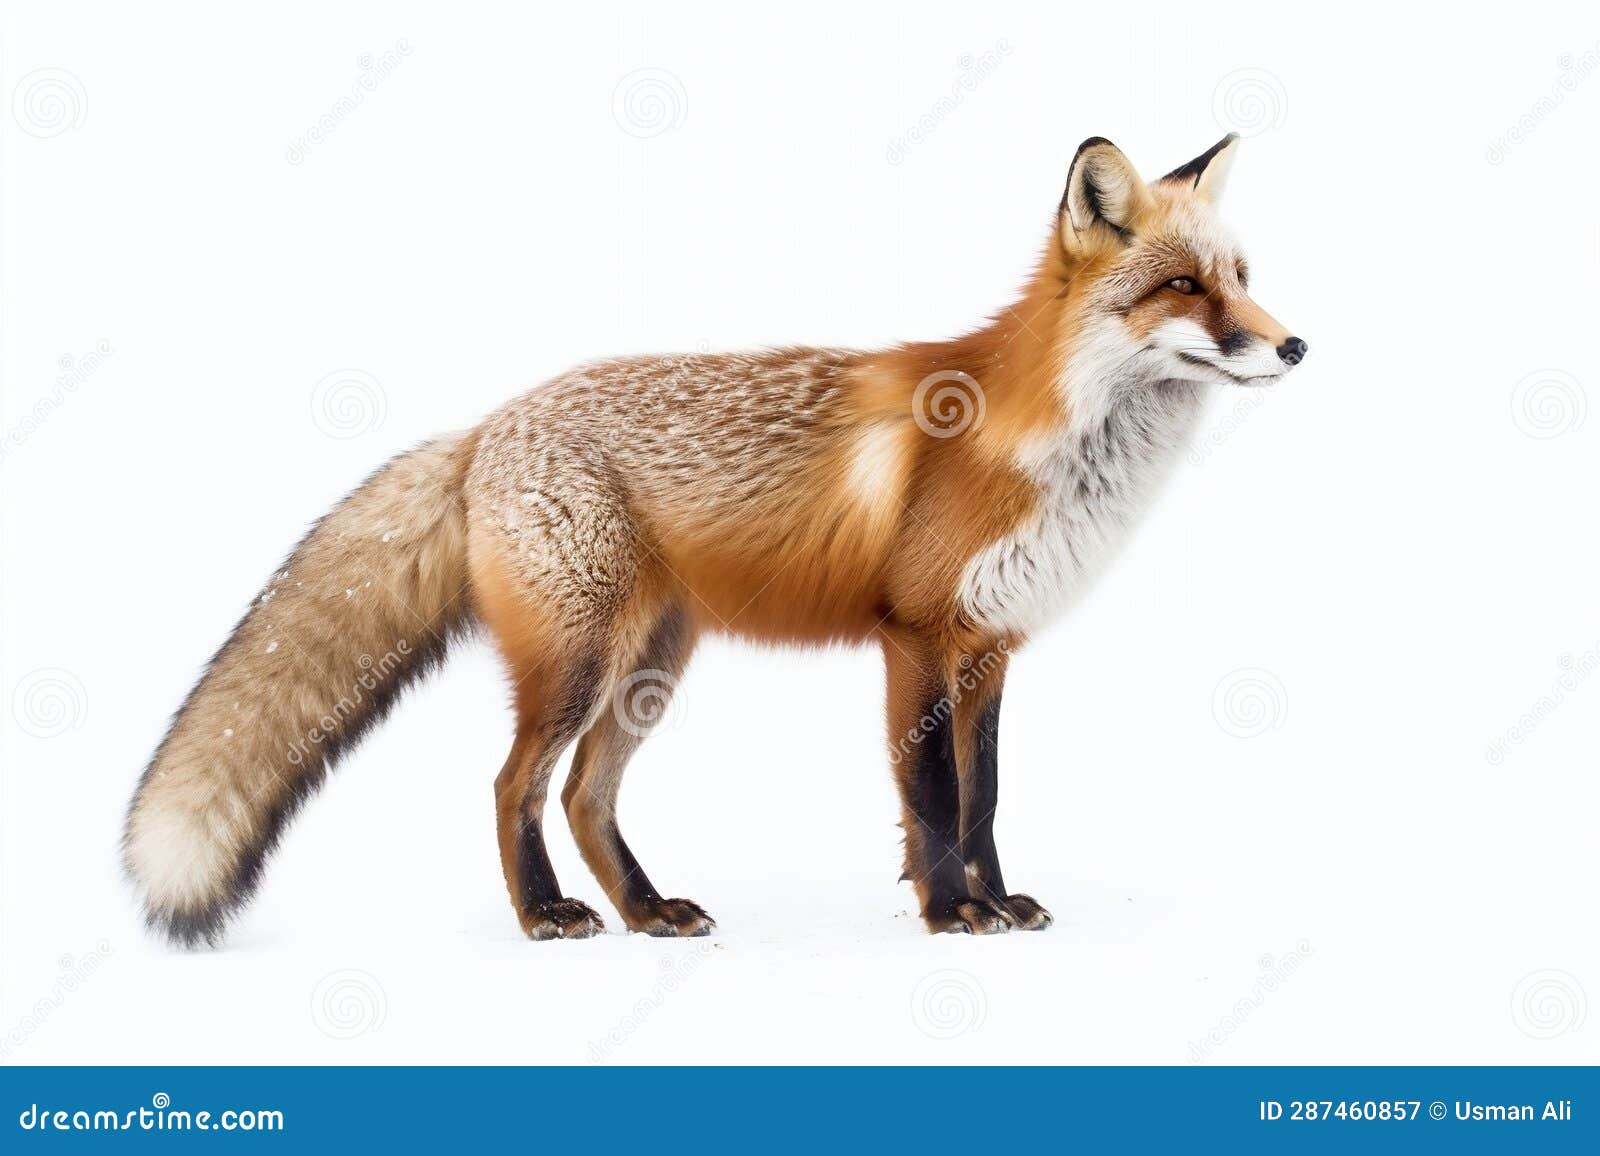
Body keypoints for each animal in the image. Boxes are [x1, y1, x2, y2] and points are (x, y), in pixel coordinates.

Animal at [125, 133, 1306, 945]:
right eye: (1183, 287)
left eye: (1242, 278)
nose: (1295, 345)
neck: (1050, 444)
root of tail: (487, 425)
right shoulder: (916, 638)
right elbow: (932, 799)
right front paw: (948, 913)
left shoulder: (990, 649)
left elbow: (986, 799)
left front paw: (997, 898)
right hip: (576, 660)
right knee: (514, 787)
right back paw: (544, 916)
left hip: (650, 663)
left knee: (583, 795)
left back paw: (647, 910)